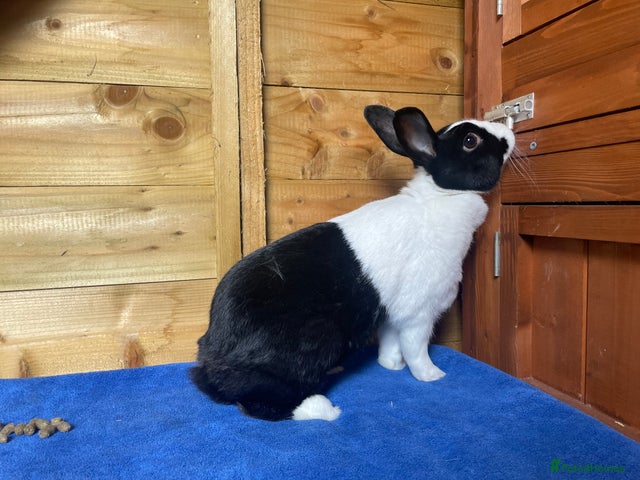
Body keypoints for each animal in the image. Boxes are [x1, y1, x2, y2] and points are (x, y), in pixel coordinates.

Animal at [191, 105, 515, 421]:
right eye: (470, 141)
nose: (509, 132)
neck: (442, 194)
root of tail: (214, 358)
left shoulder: (391, 313)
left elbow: (391, 342)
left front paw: (391, 366)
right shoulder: (419, 313)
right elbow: (416, 347)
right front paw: (432, 375)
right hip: (316, 338)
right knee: (260, 401)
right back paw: (321, 408)